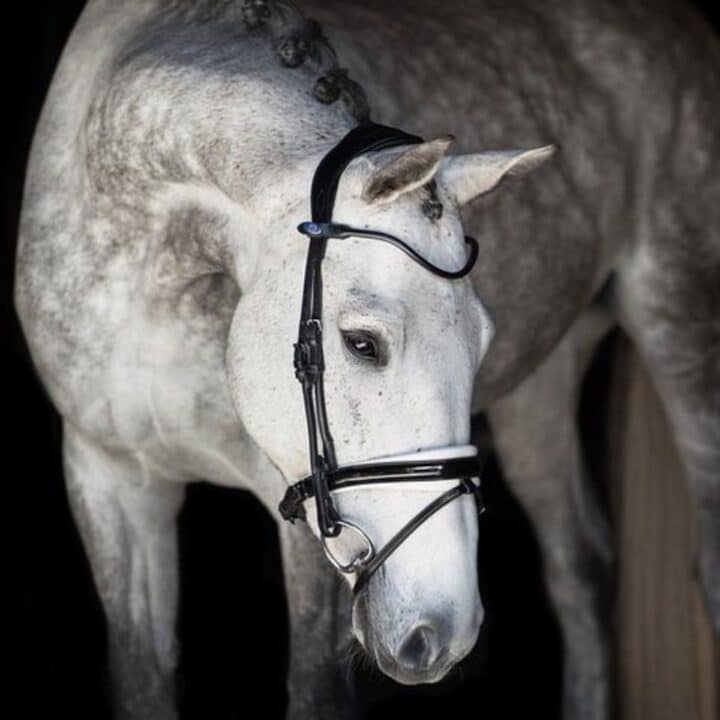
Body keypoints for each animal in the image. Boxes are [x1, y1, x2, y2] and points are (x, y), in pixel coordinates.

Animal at [15, 1, 720, 719]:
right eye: (362, 343)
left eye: (481, 340)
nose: (445, 630)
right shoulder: (111, 482)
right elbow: (141, 681)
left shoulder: (306, 522)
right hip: (541, 388)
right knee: (581, 566)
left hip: (681, 317)